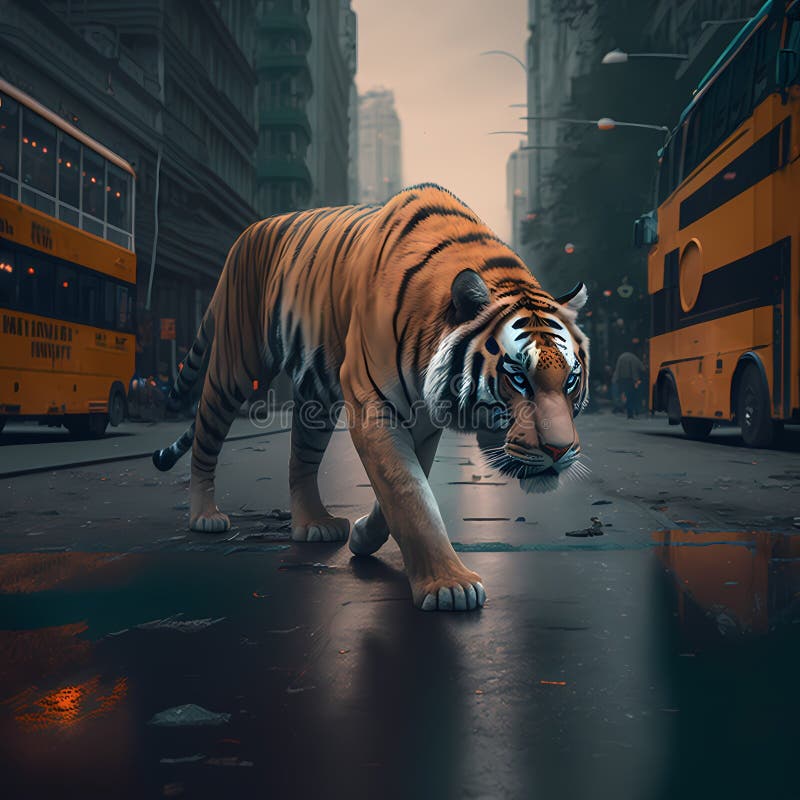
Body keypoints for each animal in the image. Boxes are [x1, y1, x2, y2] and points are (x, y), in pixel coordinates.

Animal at [153, 183, 590, 612]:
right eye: (517, 377)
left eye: (570, 380)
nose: (559, 450)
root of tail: (246, 233)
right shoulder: (371, 403)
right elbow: (408, 492)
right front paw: (448, 585)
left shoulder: (422, 421)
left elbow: (404, 486)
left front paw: (363, 537)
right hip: (236, 364)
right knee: (206, 432)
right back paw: (205, 516)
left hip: (315, 398)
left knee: (301, 458)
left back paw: (313, 524)